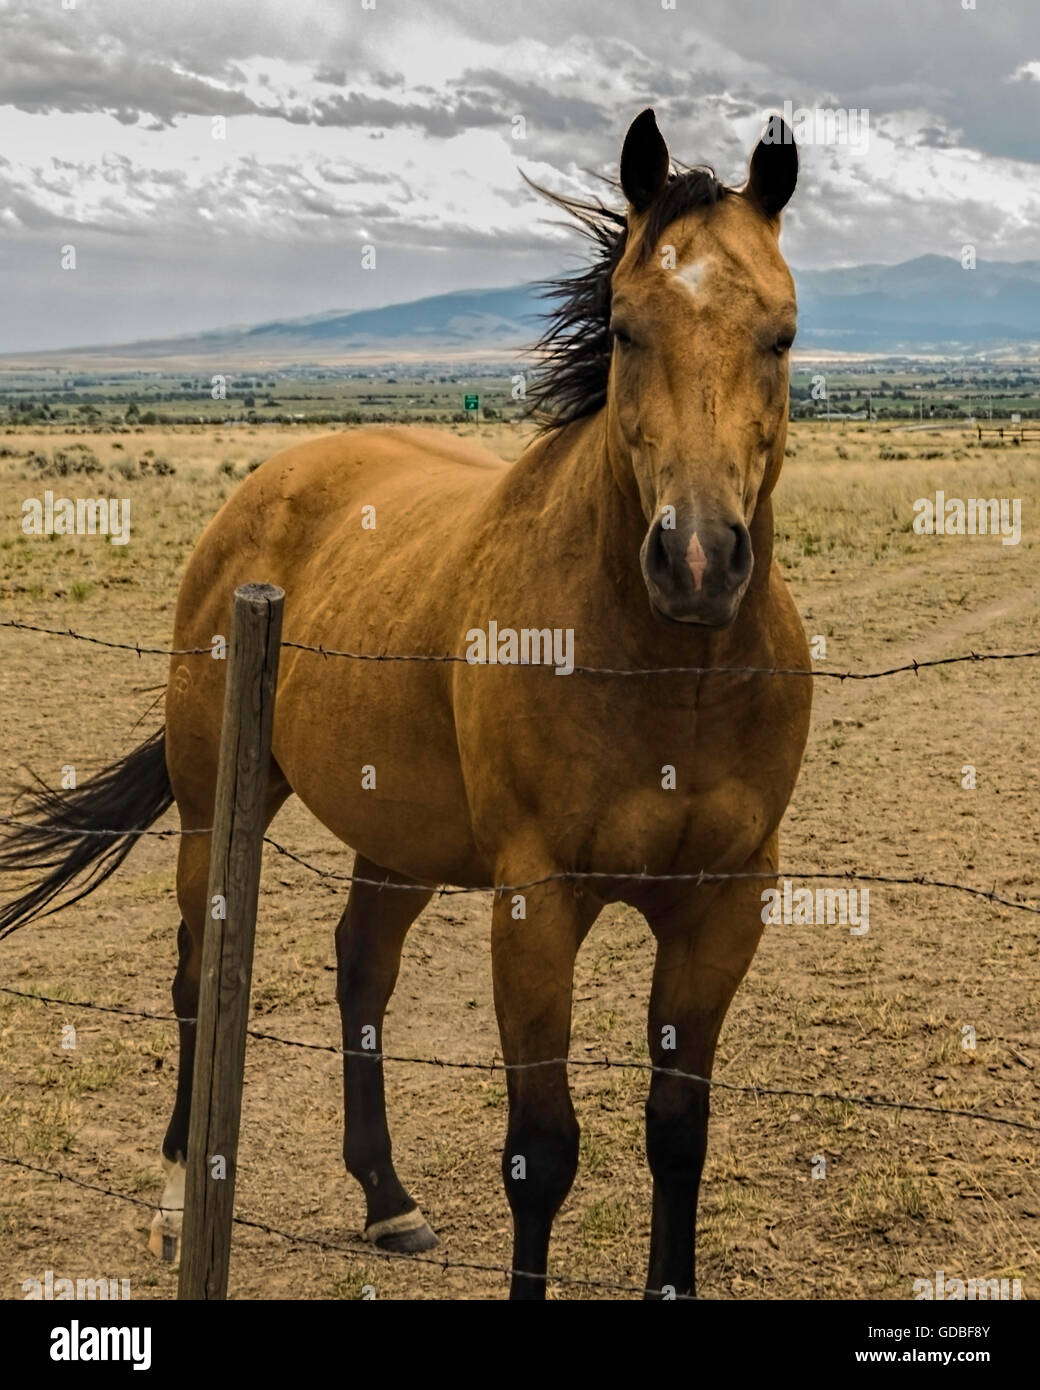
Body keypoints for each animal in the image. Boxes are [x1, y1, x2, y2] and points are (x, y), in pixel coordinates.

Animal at [0, 108, 811, 1299]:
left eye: (782, 336)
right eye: (623, 330)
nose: (698, 560)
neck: (673, 677)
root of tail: (267, 484)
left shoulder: (724, 906)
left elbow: (677, 1132)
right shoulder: (535, 904)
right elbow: (543, 1151)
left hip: (397, 836)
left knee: (360, 972)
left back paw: (385, 1199)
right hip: (215, 810)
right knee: (198, 978)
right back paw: (174, 1199)